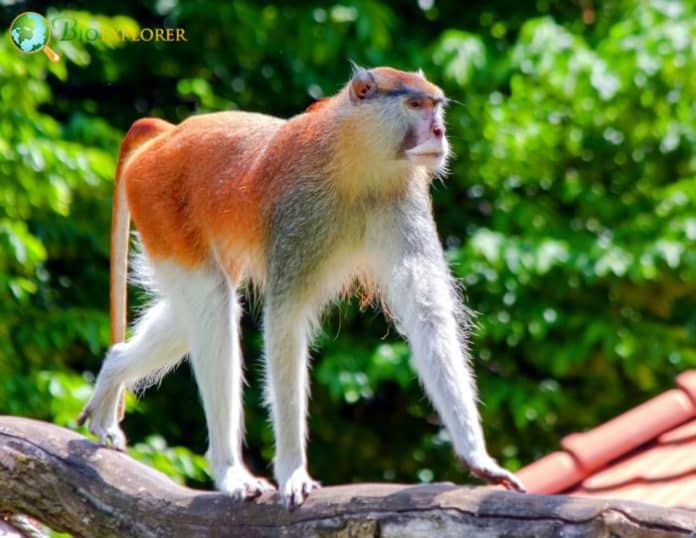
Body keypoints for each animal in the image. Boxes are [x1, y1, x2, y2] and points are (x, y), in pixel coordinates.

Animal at [77, 65, 525, 509]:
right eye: (415, 105)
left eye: (436, 106)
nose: (438, 132)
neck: (353, 158)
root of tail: (169, 135)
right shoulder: (299, 217)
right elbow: (285, 323)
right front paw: (293, 469)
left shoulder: (401, 201)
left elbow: (428, 314)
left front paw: (479, 459)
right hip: (159, 204)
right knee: (212, 303)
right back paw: (229, 471)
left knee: (197, 312)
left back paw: (114, 370)